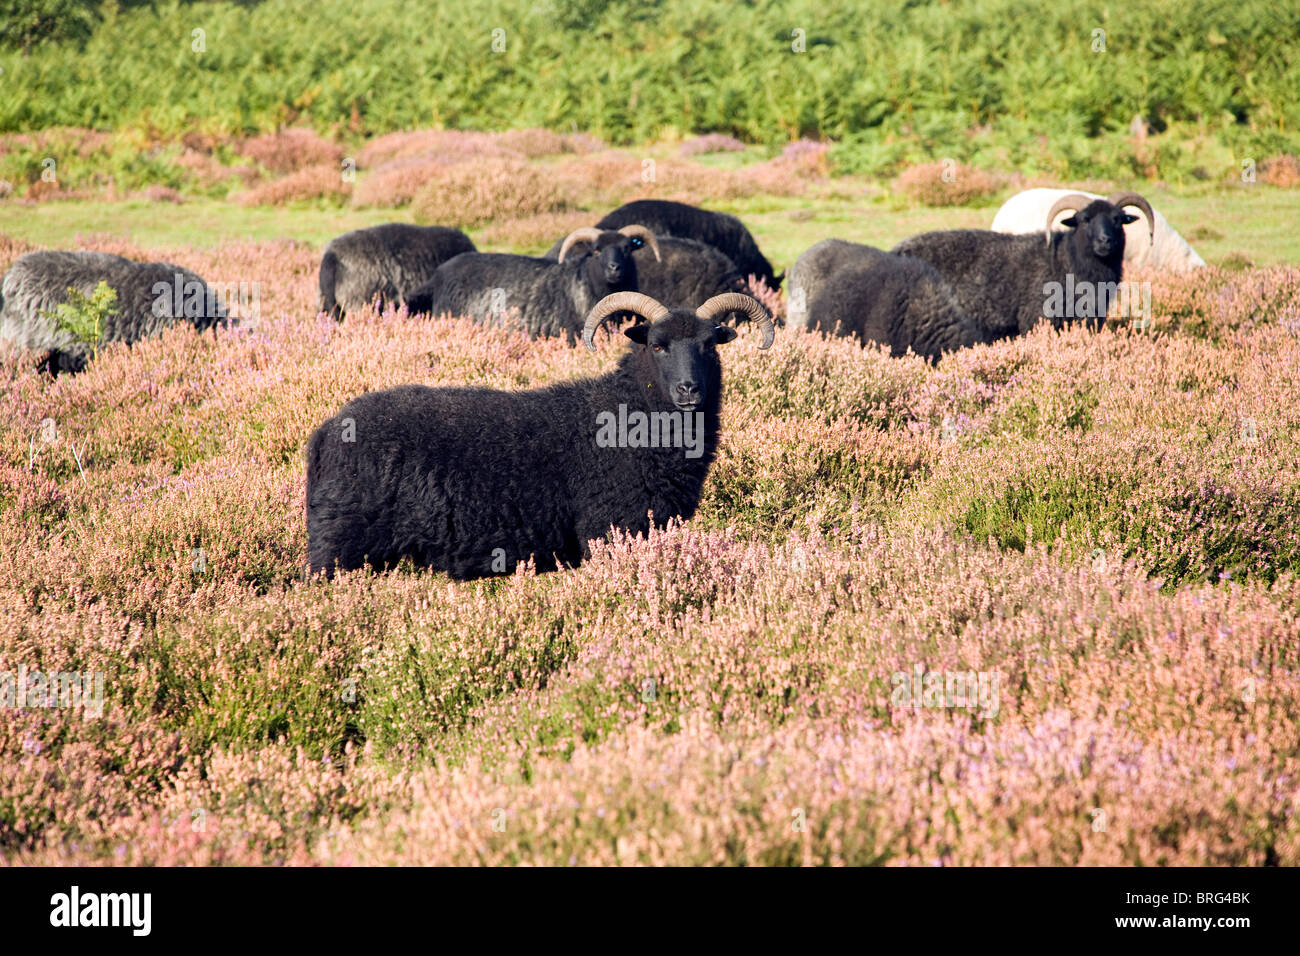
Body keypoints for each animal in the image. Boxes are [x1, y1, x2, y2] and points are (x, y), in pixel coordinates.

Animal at [305, 290, 775, 579]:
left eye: (710, 346)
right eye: (657, 346)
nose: (688, 390)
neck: (630, 414)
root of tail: (326, 431)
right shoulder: (610, 530)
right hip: (338, 547)